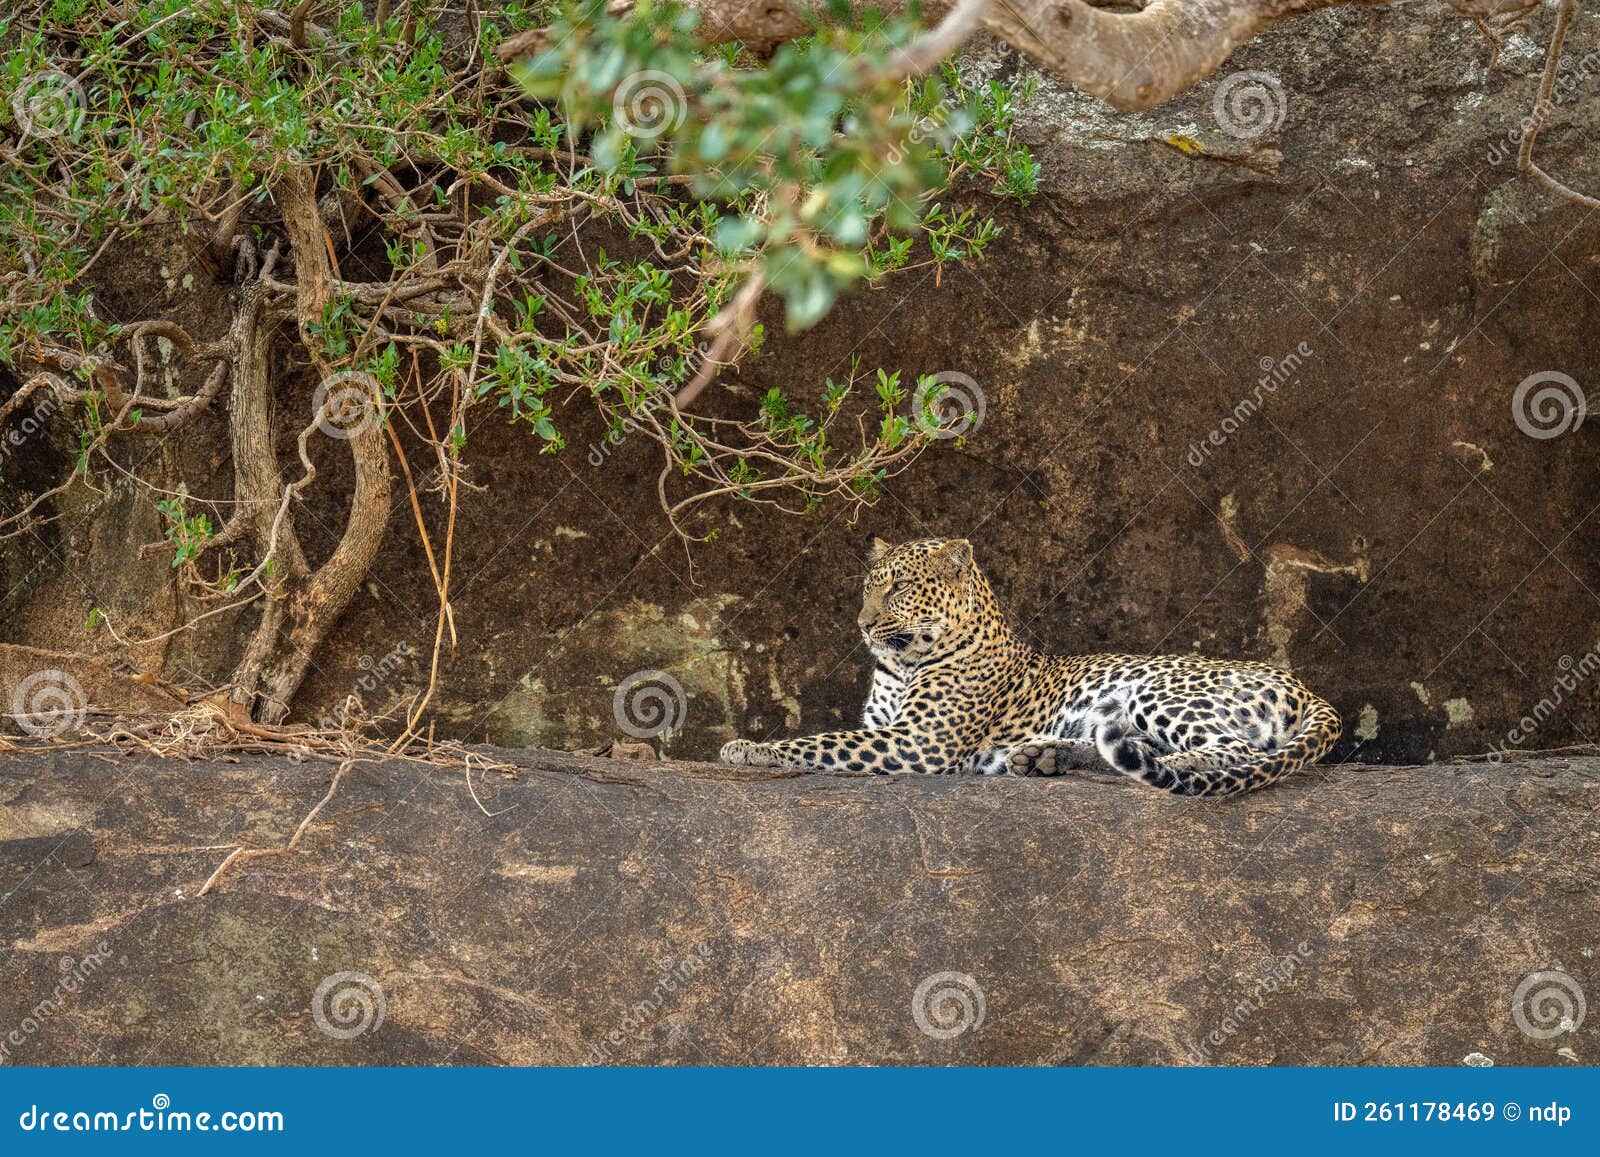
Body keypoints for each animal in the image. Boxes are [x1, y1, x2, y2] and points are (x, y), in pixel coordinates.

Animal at [720, 537, 1341, 796]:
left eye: (897, 589)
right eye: (868, 588)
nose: (863, 624)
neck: (902, 662)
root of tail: (1298, 681)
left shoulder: (919, 743)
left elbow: (819, 741)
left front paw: (749, 749)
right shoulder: (888, 728)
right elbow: (830, 737)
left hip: (1158, 689)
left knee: (1228, 750)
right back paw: (1045, 756)